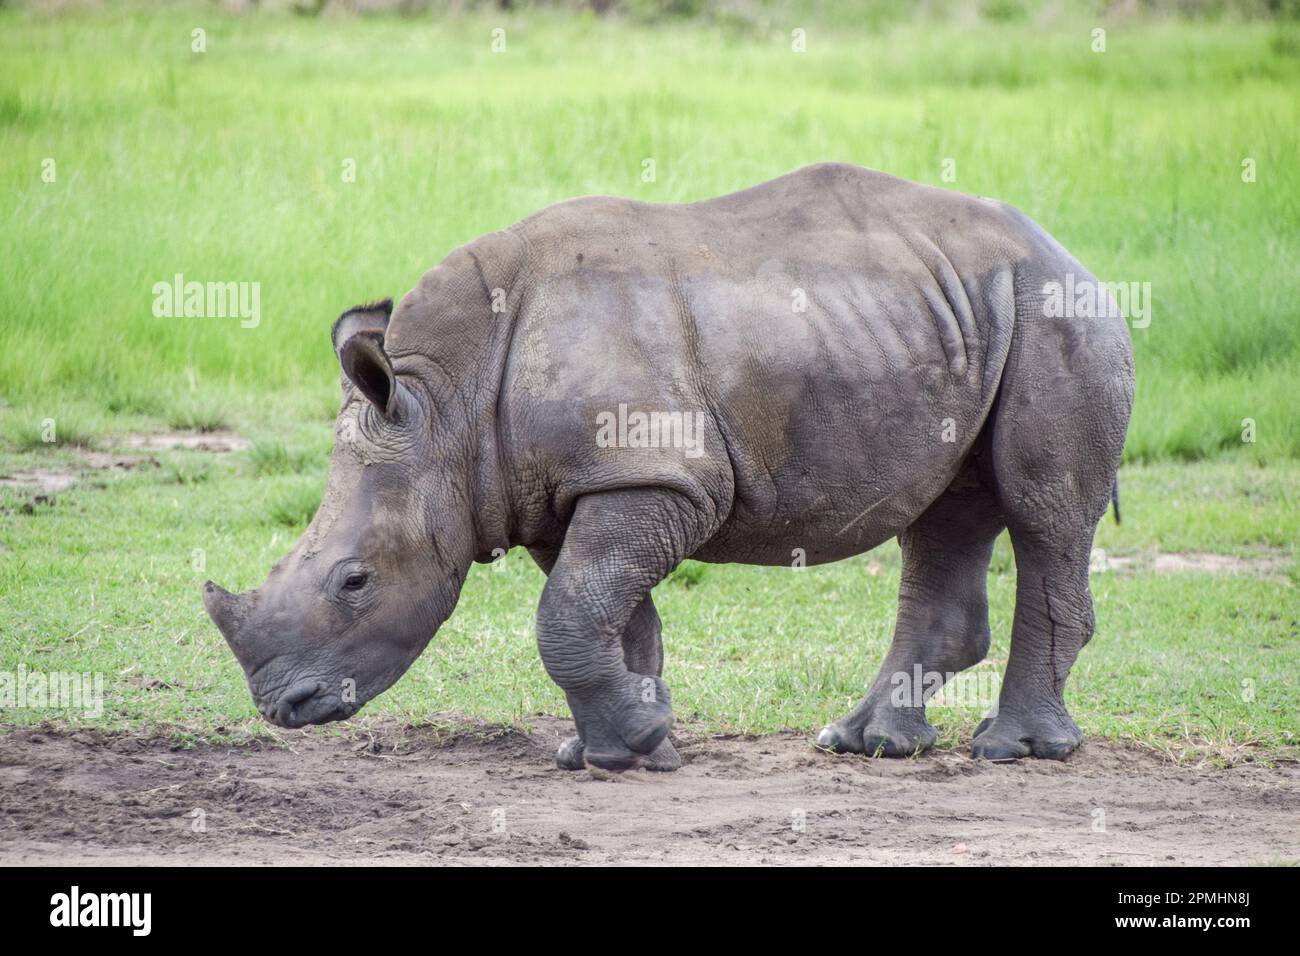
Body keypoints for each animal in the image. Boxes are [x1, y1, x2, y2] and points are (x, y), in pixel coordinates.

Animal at [203, 163, 1134, 771]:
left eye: (354, 581)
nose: (281, 708)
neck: (446, 405)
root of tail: (1069, 251)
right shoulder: (569, 485)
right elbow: (609, 617)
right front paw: (623, 746)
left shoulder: (653, 474)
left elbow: (568, 613)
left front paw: (632, 745)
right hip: (951, 319)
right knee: (946, 513)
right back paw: (861, 743)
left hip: (1055, 311)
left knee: (1043, 511)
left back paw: (1016, 751)